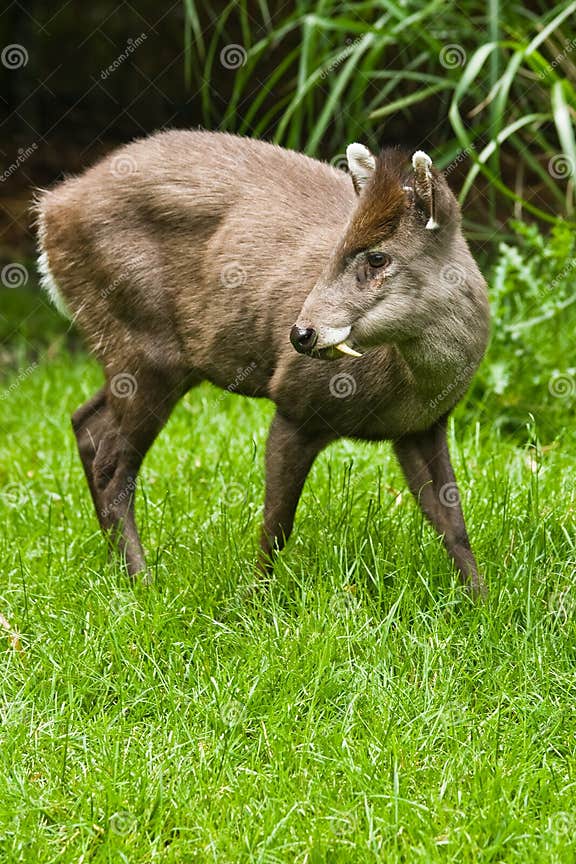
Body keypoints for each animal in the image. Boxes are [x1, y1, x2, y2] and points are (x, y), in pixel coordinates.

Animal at [35, 130, 490, 598]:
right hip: (142, 344)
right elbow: (277, 524)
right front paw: (256, 599)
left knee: (86, 422)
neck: (409, 386)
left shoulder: (422, 427)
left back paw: (120, 568)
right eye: (336, 250)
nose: (301, 333)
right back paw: (143, 581)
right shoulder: (296, 403)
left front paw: (479, 601)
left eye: (378, 257)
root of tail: (51, 209)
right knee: (112, 465)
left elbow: (453, 523)